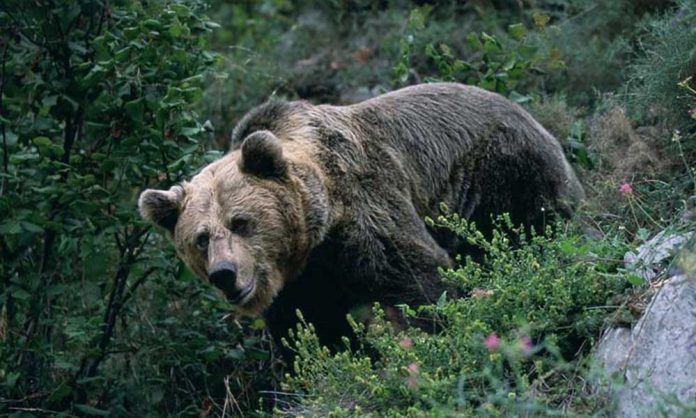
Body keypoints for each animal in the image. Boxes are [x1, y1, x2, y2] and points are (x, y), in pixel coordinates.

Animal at [138, 82, 584, 349]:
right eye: (200, 238)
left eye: (240, 222)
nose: (225, 274)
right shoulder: (305, 280)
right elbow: (311, 330)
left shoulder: (365, 206)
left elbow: (417, 276)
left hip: (503, 171)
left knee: (532, 223)